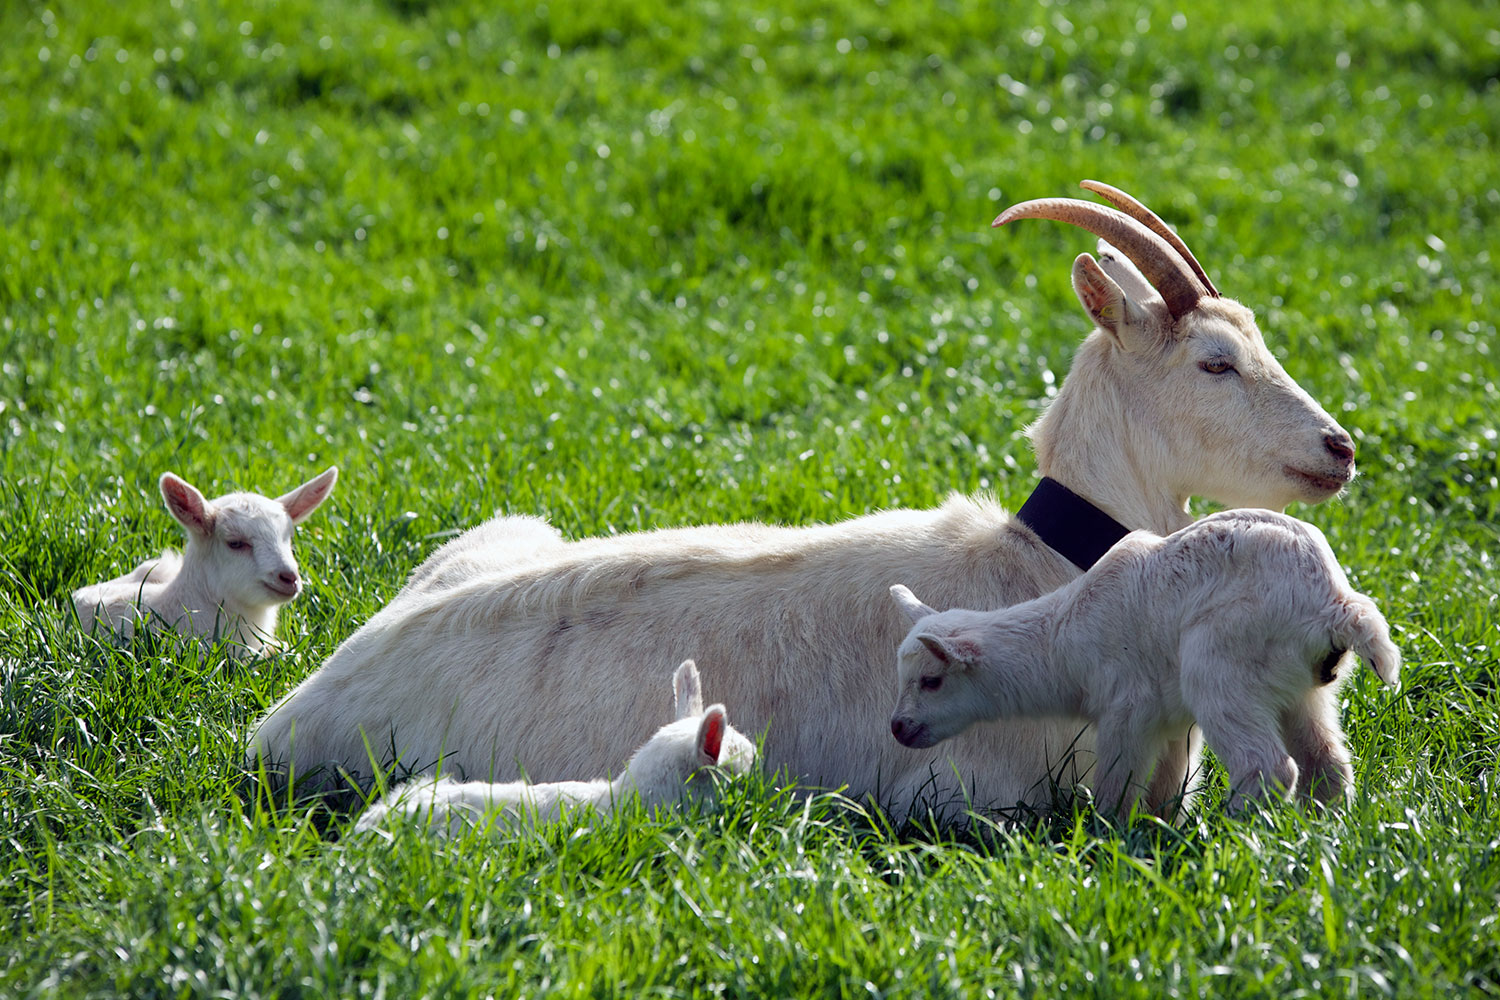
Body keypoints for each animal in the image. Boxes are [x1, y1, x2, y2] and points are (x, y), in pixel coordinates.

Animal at [889, 509, 1401, 815]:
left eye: (931, 681)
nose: (897, 728)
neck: (1062, 644)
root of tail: (1334, 602)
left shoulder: (1128, 709)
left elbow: (1118, 782)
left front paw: (1105, 834)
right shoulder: (1172, 721)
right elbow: (1168, 783)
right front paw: (1159, 824)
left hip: (1221, 662)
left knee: (1268, 767)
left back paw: (1238, 834)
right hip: (1305, 685)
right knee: (1326, 761)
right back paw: (1320, 829)